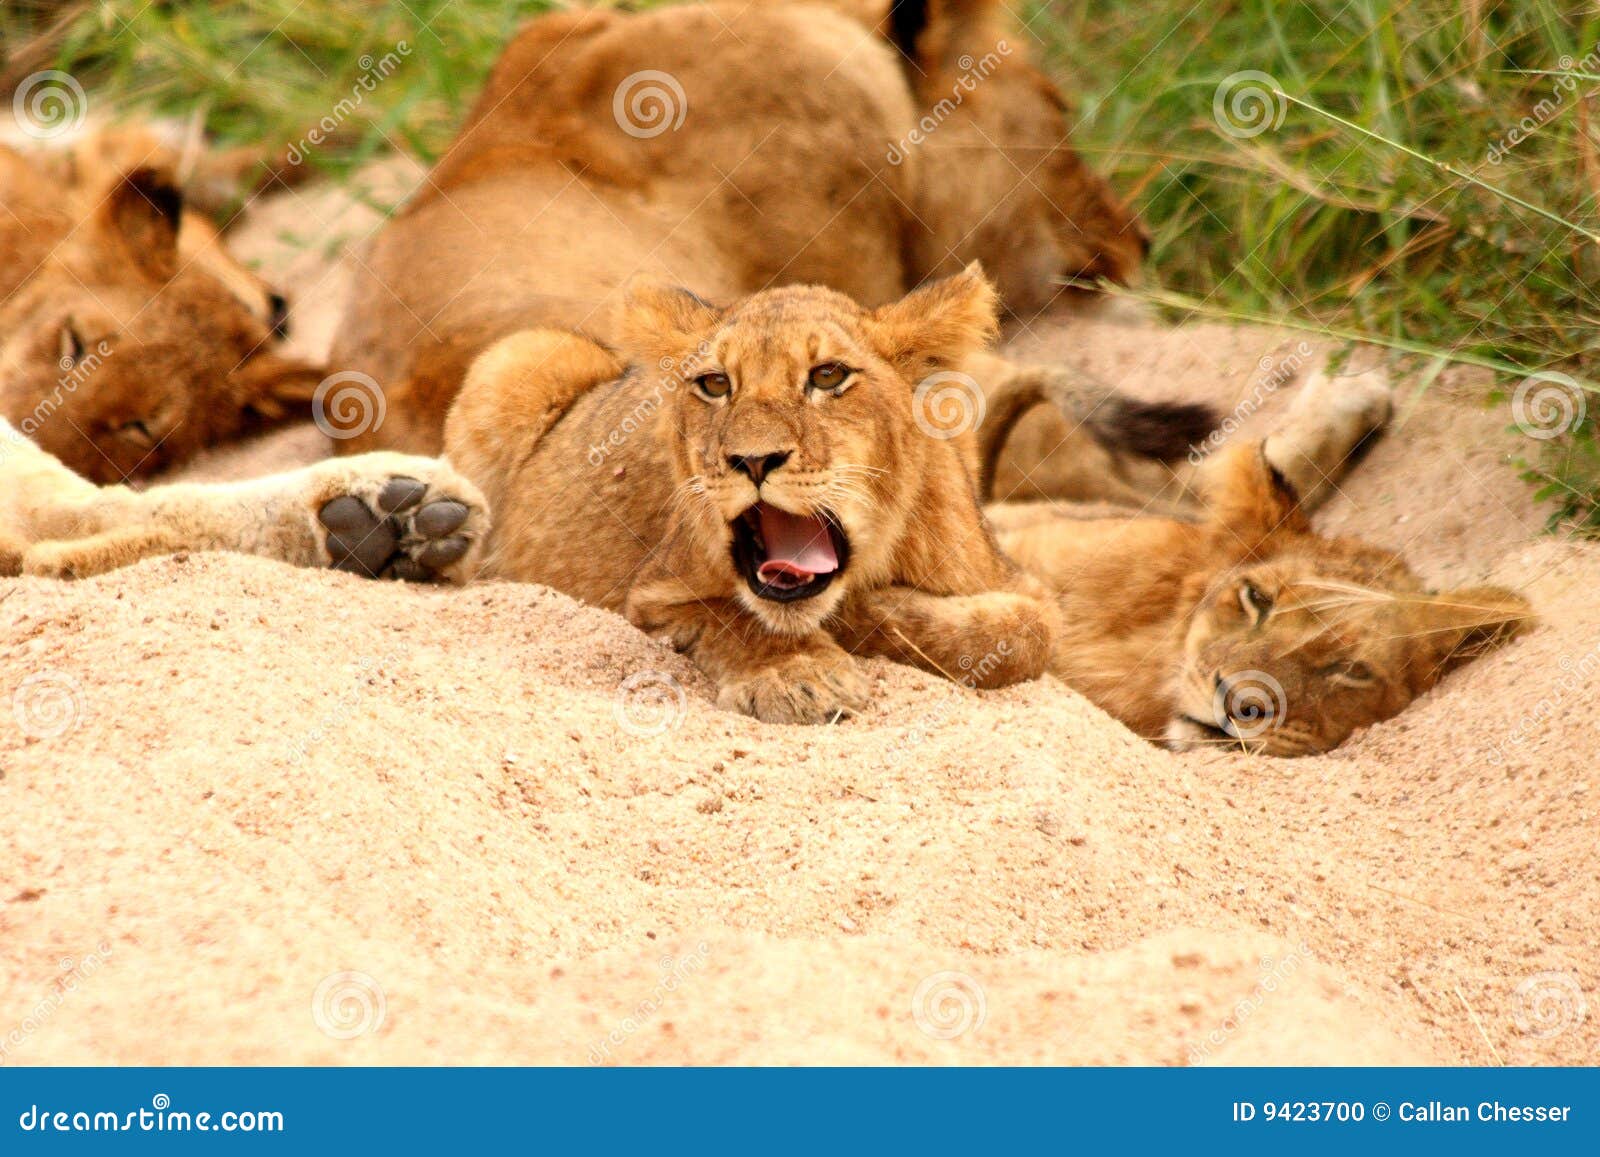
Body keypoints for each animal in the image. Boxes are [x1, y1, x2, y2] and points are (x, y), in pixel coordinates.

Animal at [444, 267, 1063, 723]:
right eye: (716, 384)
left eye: (828, 375)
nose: (754, 459)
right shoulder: (655, 589)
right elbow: (732, 615)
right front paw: (798, 672)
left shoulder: (1012, 580)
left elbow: (1026, 632)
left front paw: (866, 616)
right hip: (519, 358)